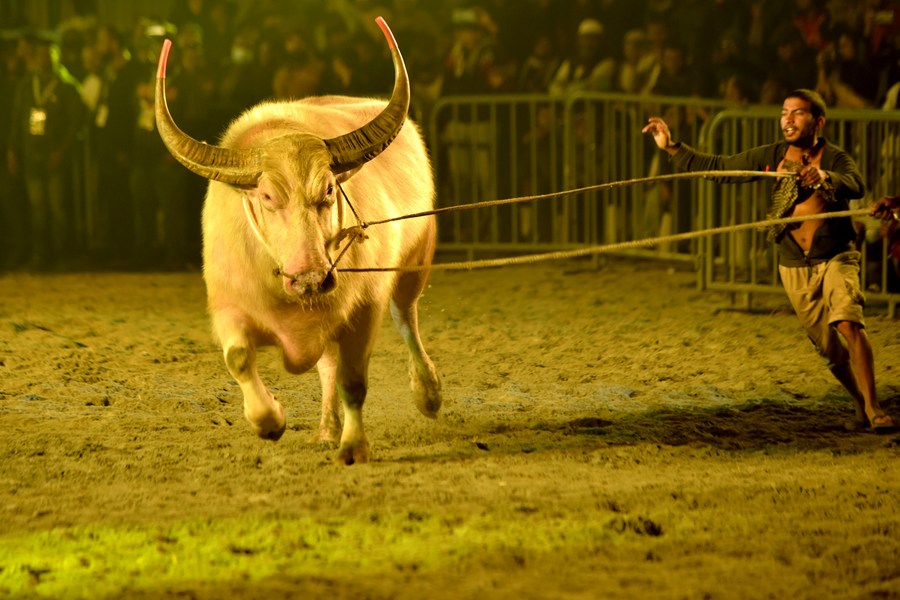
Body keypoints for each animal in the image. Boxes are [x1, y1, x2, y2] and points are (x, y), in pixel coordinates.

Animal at [154, 17, 442, 464]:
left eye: (328, 189)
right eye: (267, 196)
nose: (309, 278)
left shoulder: (365, 308)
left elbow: (354, 381)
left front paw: (354, 446)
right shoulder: (228, 306)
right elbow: (239, 358)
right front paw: (271, 420)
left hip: (416, 262)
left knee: (406, 318)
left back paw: (427, 393)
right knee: (327, 366)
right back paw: (325, 429)